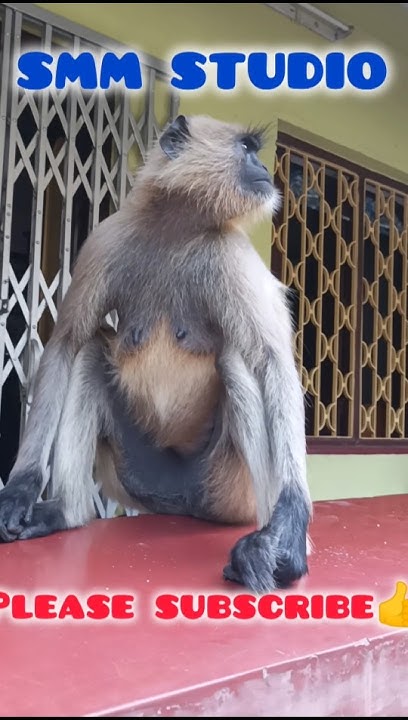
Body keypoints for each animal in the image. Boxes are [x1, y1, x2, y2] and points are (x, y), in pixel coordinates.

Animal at [0, 114, 312, 593]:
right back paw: (67, 513)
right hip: (135, 475)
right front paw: (20, 489)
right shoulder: (107, 239)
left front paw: (292, 526)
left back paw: (266, 541)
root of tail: (179, 502)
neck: (175, 227)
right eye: (246, 149)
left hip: (228, 490)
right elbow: (66, 344)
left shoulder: (233, 253)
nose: (264, 168)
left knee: (238, 362)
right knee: (90, 353)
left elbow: (272, 362)